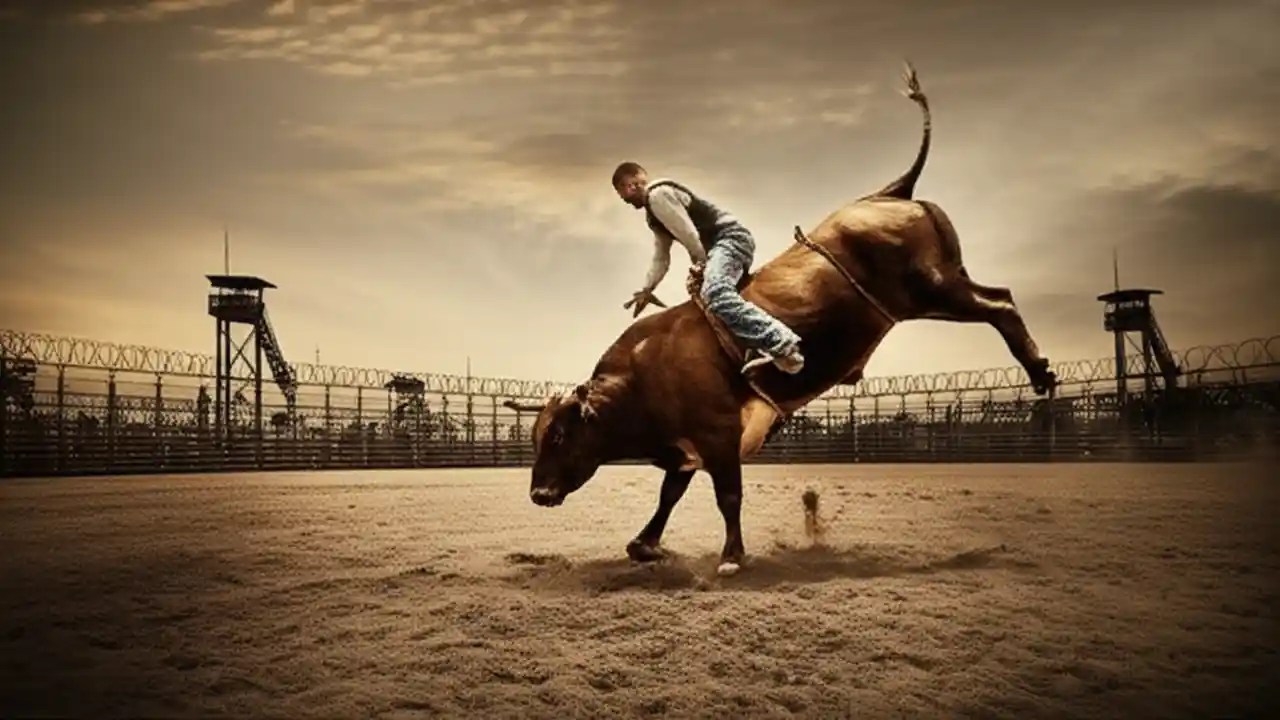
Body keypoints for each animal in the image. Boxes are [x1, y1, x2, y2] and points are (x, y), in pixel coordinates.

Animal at [505, 62, 1058, 577]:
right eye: (533, 436)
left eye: (559, 435)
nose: (538, 494)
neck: (646, 371)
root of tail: (889, 193)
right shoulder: (686, 449)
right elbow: (669, 494)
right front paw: (644, 544)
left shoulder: (718, 436)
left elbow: (726, 496)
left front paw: (731, 557)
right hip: (942, 288)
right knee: (1000, 295)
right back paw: (1040, 373)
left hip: (932, 288)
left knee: (1001, 307)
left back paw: (1039, 372)